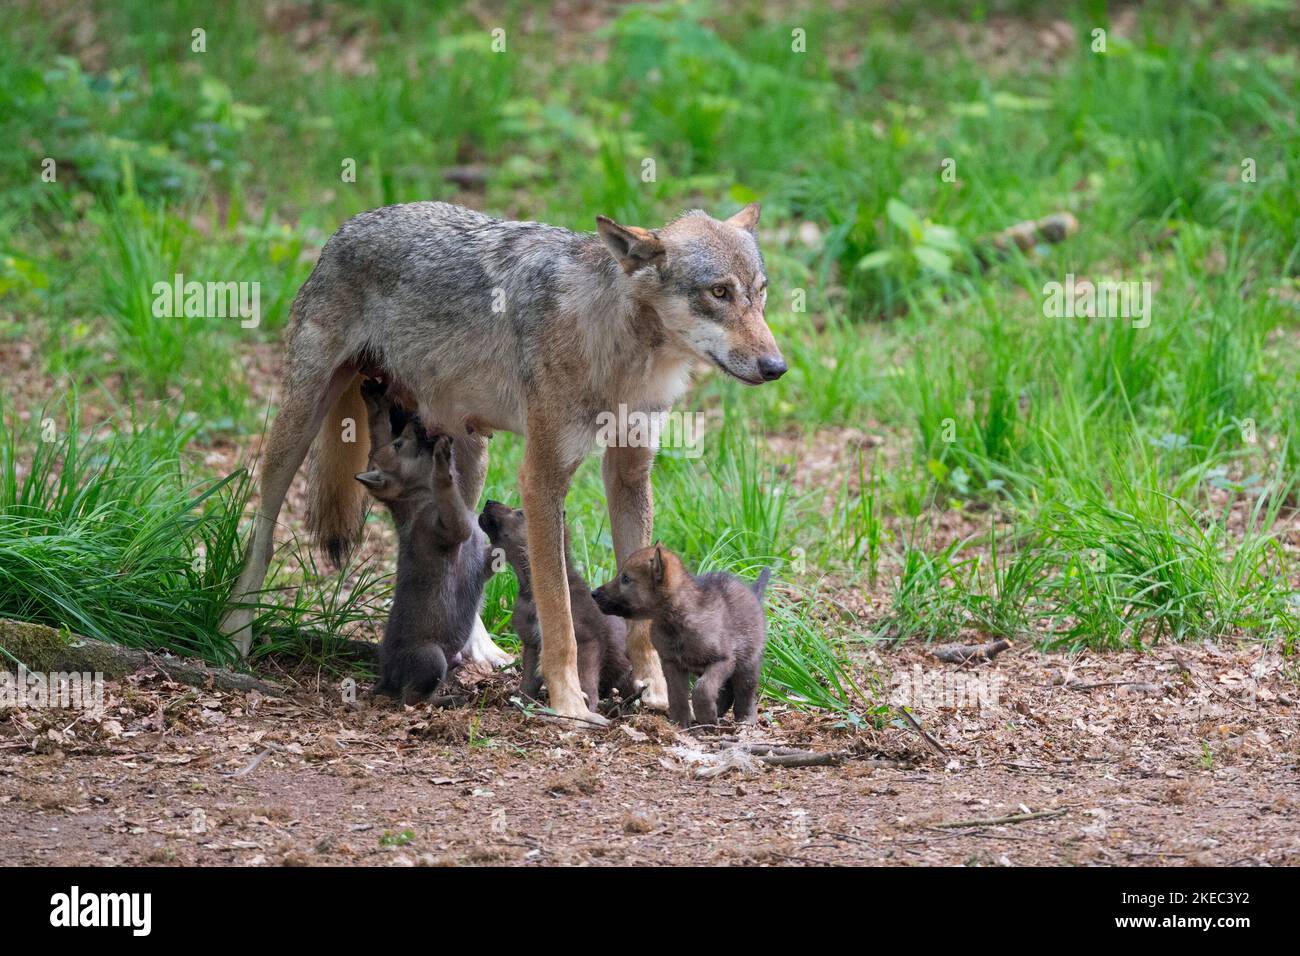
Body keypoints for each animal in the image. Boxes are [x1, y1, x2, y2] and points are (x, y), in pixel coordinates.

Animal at [478, 499, 637, 708]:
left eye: (520, 513)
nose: (488, 501)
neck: (532, 591)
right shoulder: (532, 644)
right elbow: (528, 683)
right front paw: (523, 704)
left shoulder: (587, 641)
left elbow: (585, 680)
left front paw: (586, 707)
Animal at [592, 545, 772, 727]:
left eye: (626, 578)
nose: (593, 593)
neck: (674, 620)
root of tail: (753, 592)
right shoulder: (671, 663)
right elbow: (677, 695)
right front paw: (681, 723)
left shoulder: (722, 659)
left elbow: (702, 688)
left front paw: (706, 716)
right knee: (727, 691)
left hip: (747, 664)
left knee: (745, 693)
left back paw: (745, 719)